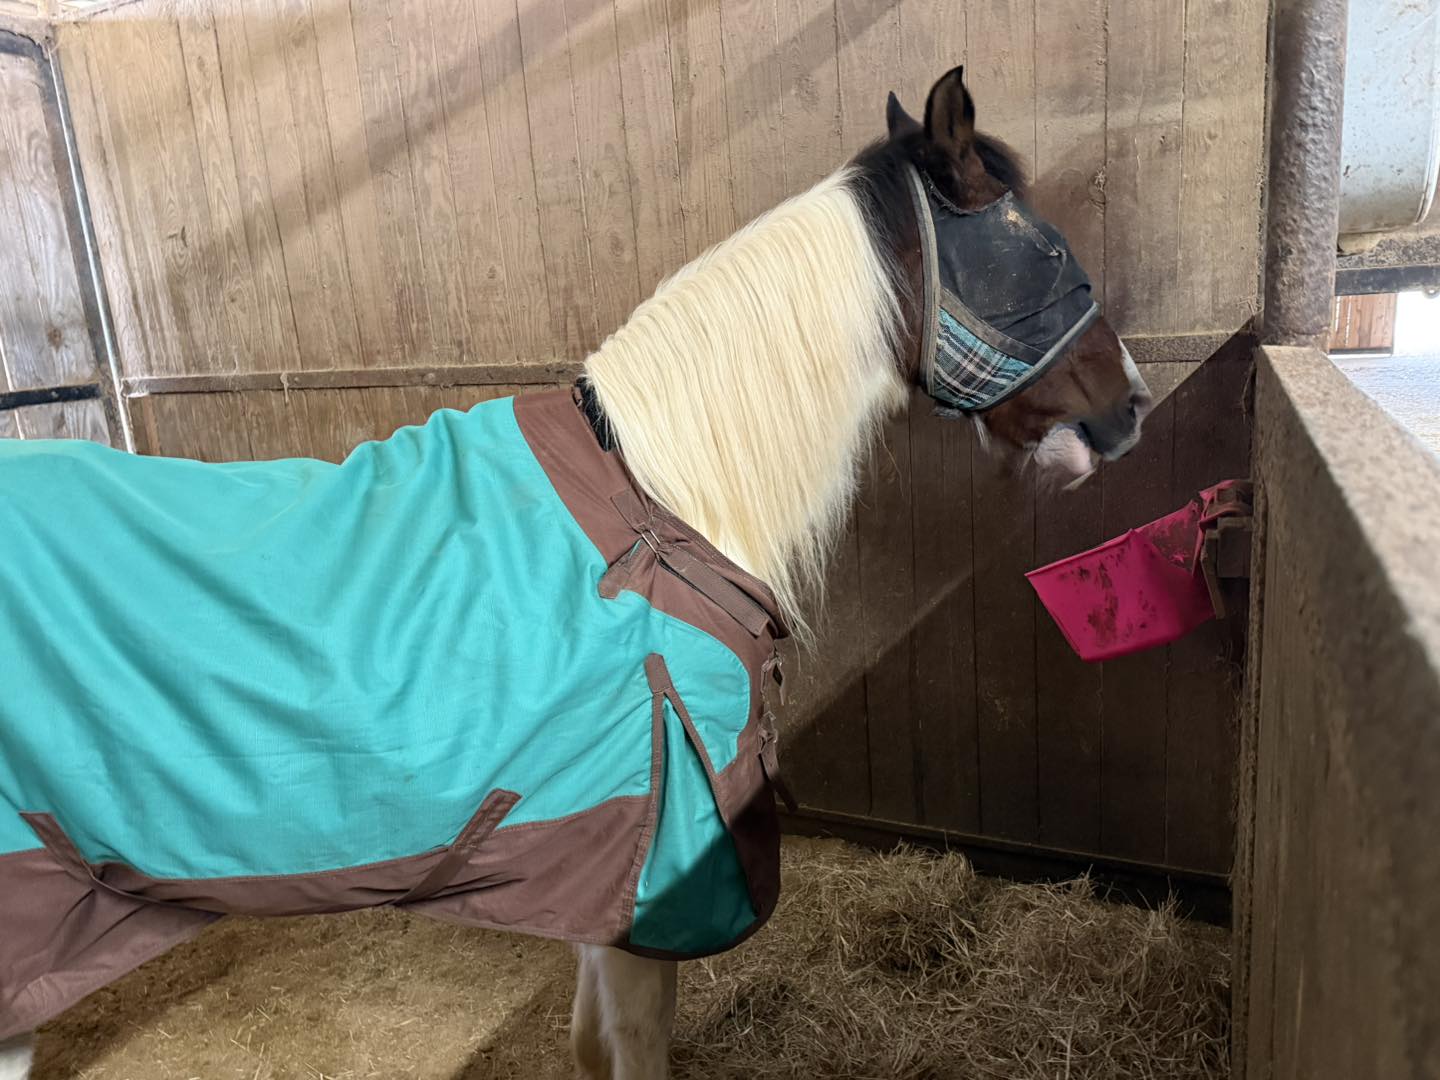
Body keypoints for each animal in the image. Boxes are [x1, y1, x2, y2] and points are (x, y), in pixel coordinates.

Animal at [0, 67, 1150, 1080]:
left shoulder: (602, 877)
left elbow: (593, 1044)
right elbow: (634, 1049)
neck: (662, 499)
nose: (1129, 408)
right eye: (1046, 250)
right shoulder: (654, 872)